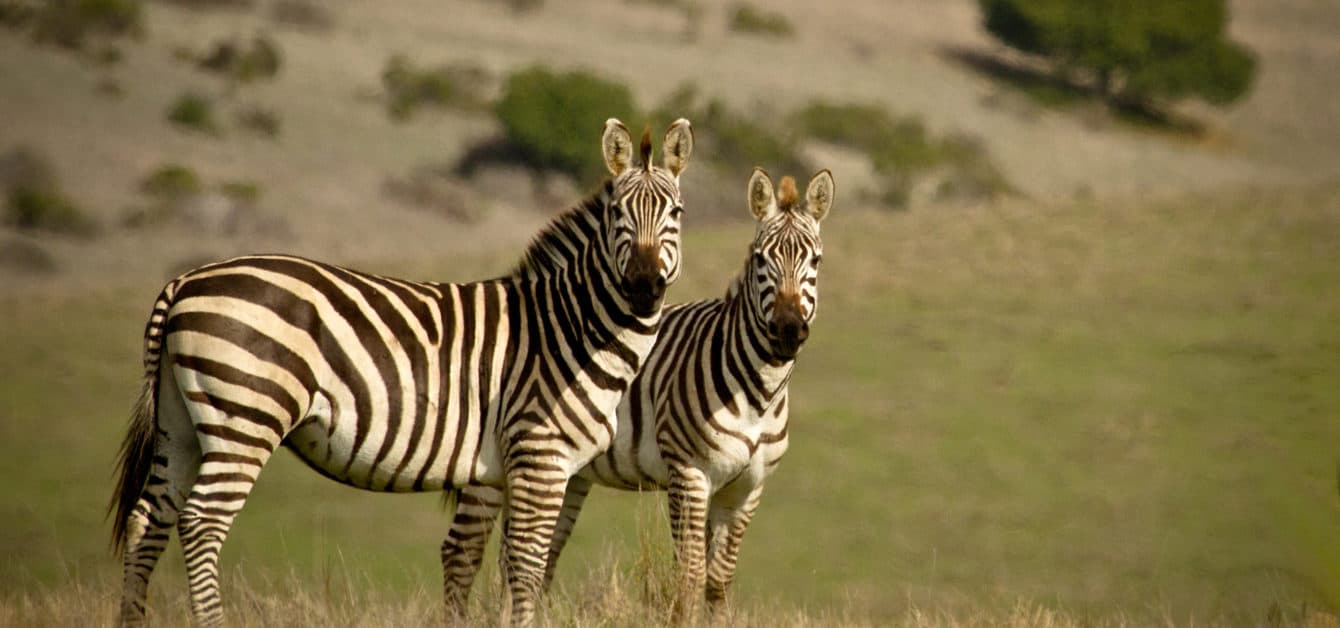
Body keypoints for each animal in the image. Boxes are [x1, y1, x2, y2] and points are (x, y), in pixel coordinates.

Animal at [108, 118, 694, 627]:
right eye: (618, 214)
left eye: (677, 212)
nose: (644, 288)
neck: (571, 327)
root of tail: (183, 281)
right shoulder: (539, 457)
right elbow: (527, 567)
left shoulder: (508, 470)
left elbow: (505, 563)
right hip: (244, 417)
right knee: (201, 523)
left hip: (180, 424)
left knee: (148, 520)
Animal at [440, 168, 834, 621]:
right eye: (759, 260)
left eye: (815, 260)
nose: (788, 331)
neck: (759, 396)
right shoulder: (690, 474)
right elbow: (690, 576)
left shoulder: (746, 491)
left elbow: (719, 583)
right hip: (489, 463)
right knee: (462, 552)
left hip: (562, 471)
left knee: (528, 557)